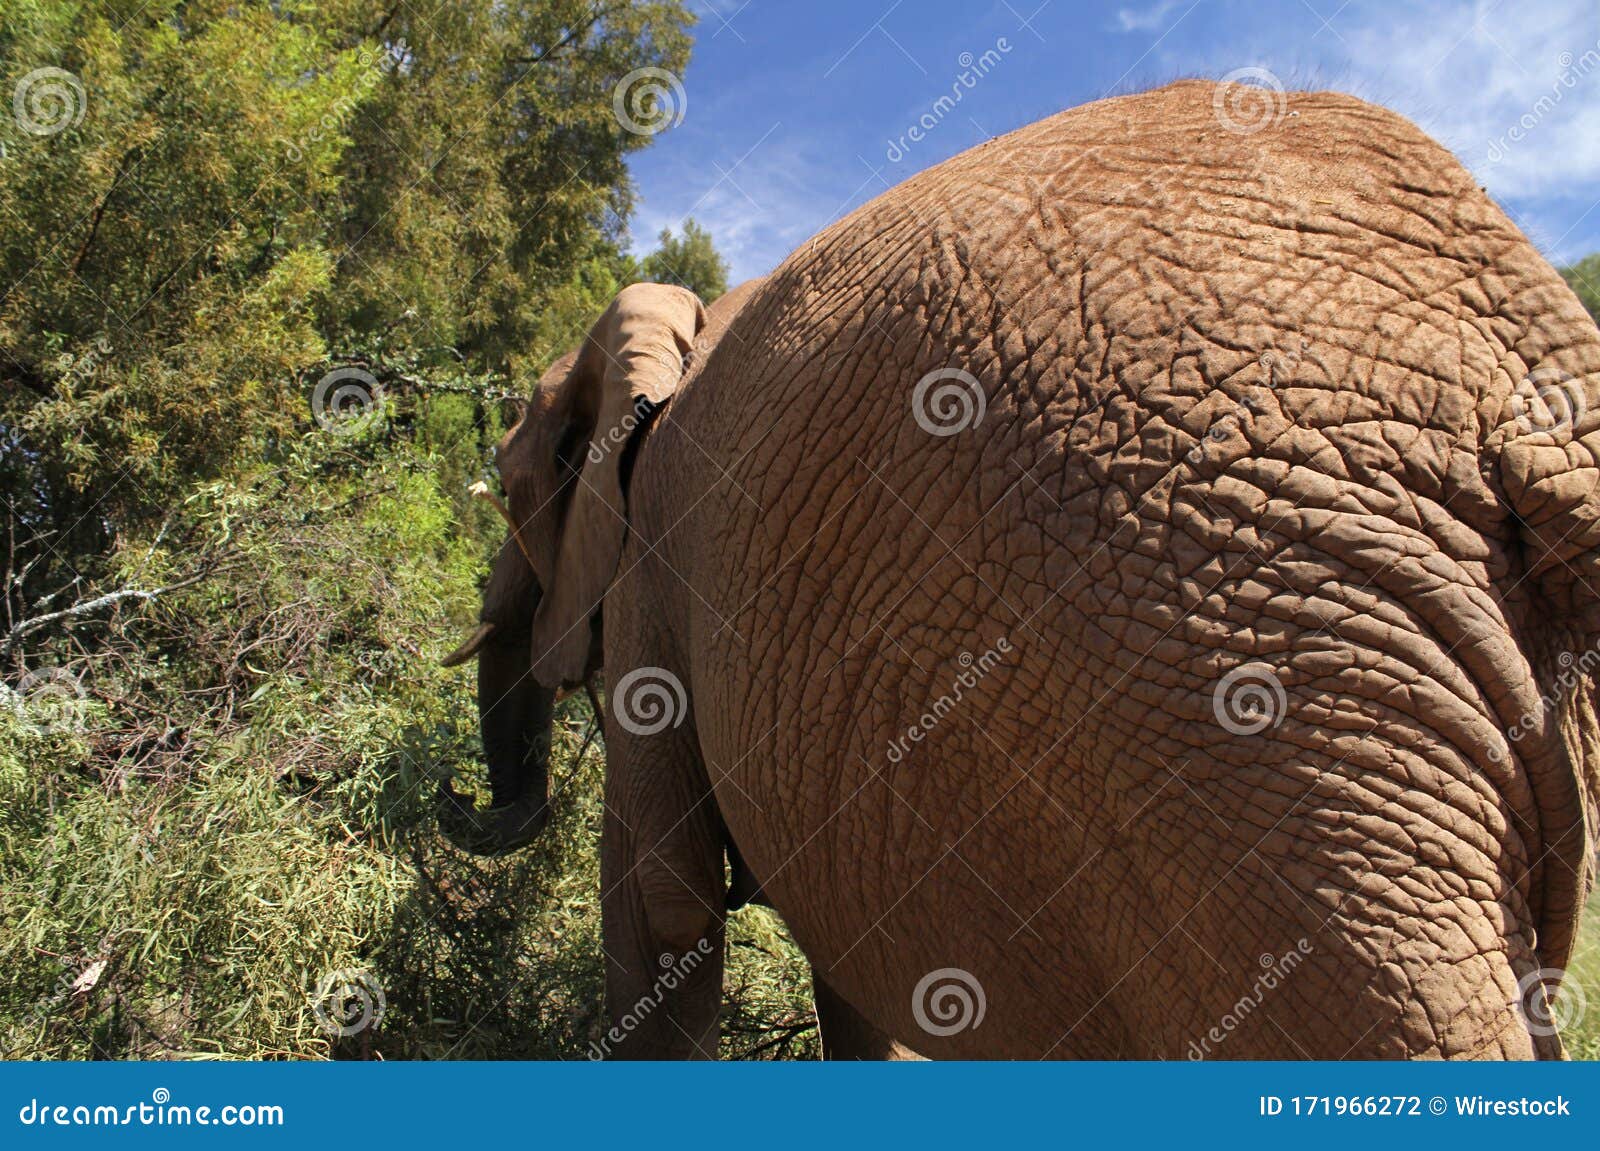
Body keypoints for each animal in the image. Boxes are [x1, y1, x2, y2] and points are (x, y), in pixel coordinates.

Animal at [444, 79, 1600, 1059]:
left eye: (512, 486)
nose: (458, 799)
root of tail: (1525, 355)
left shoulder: (650, 562)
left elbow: (664, 907)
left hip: (1264, 689)